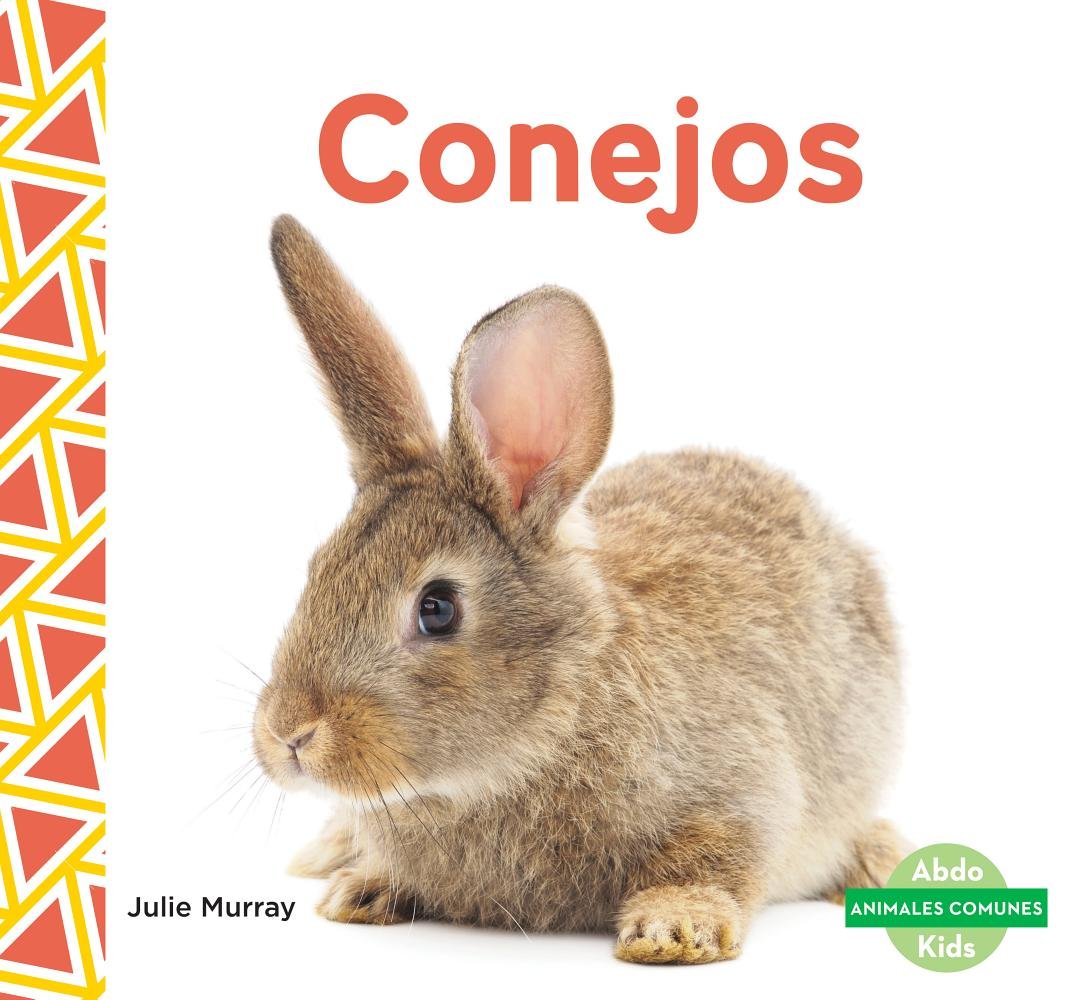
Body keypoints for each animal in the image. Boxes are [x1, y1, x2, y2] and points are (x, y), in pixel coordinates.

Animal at [252, 214, 907, 964]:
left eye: (437, 609)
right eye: (315, 570)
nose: (289, 733)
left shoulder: (744, 789)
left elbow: (714, 858)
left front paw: (673, 931)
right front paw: (362, 889)